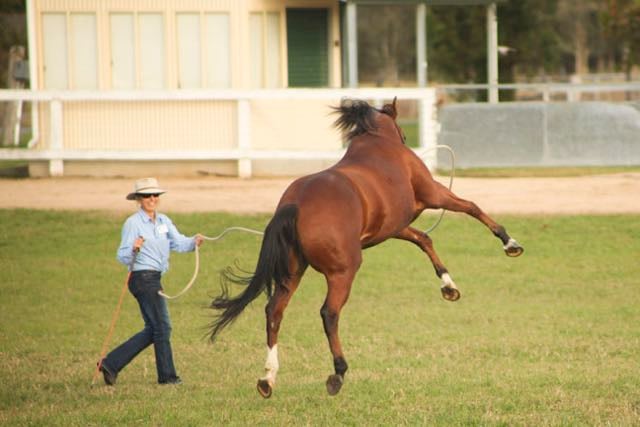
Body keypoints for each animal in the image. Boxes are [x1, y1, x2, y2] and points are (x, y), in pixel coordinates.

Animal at [209, 97, 523, 398]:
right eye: (401, 131)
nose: (406, 138)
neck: (378, 143)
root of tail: (294, 204)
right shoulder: (433, 193)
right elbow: (471, 207)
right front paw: (509, 242)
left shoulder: (395, 227)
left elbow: (424, 239)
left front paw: (449, 286)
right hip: (343, 272)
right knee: (329, 313)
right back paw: (337, 373)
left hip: (293, 271)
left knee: (274, 312)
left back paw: (268, 378)